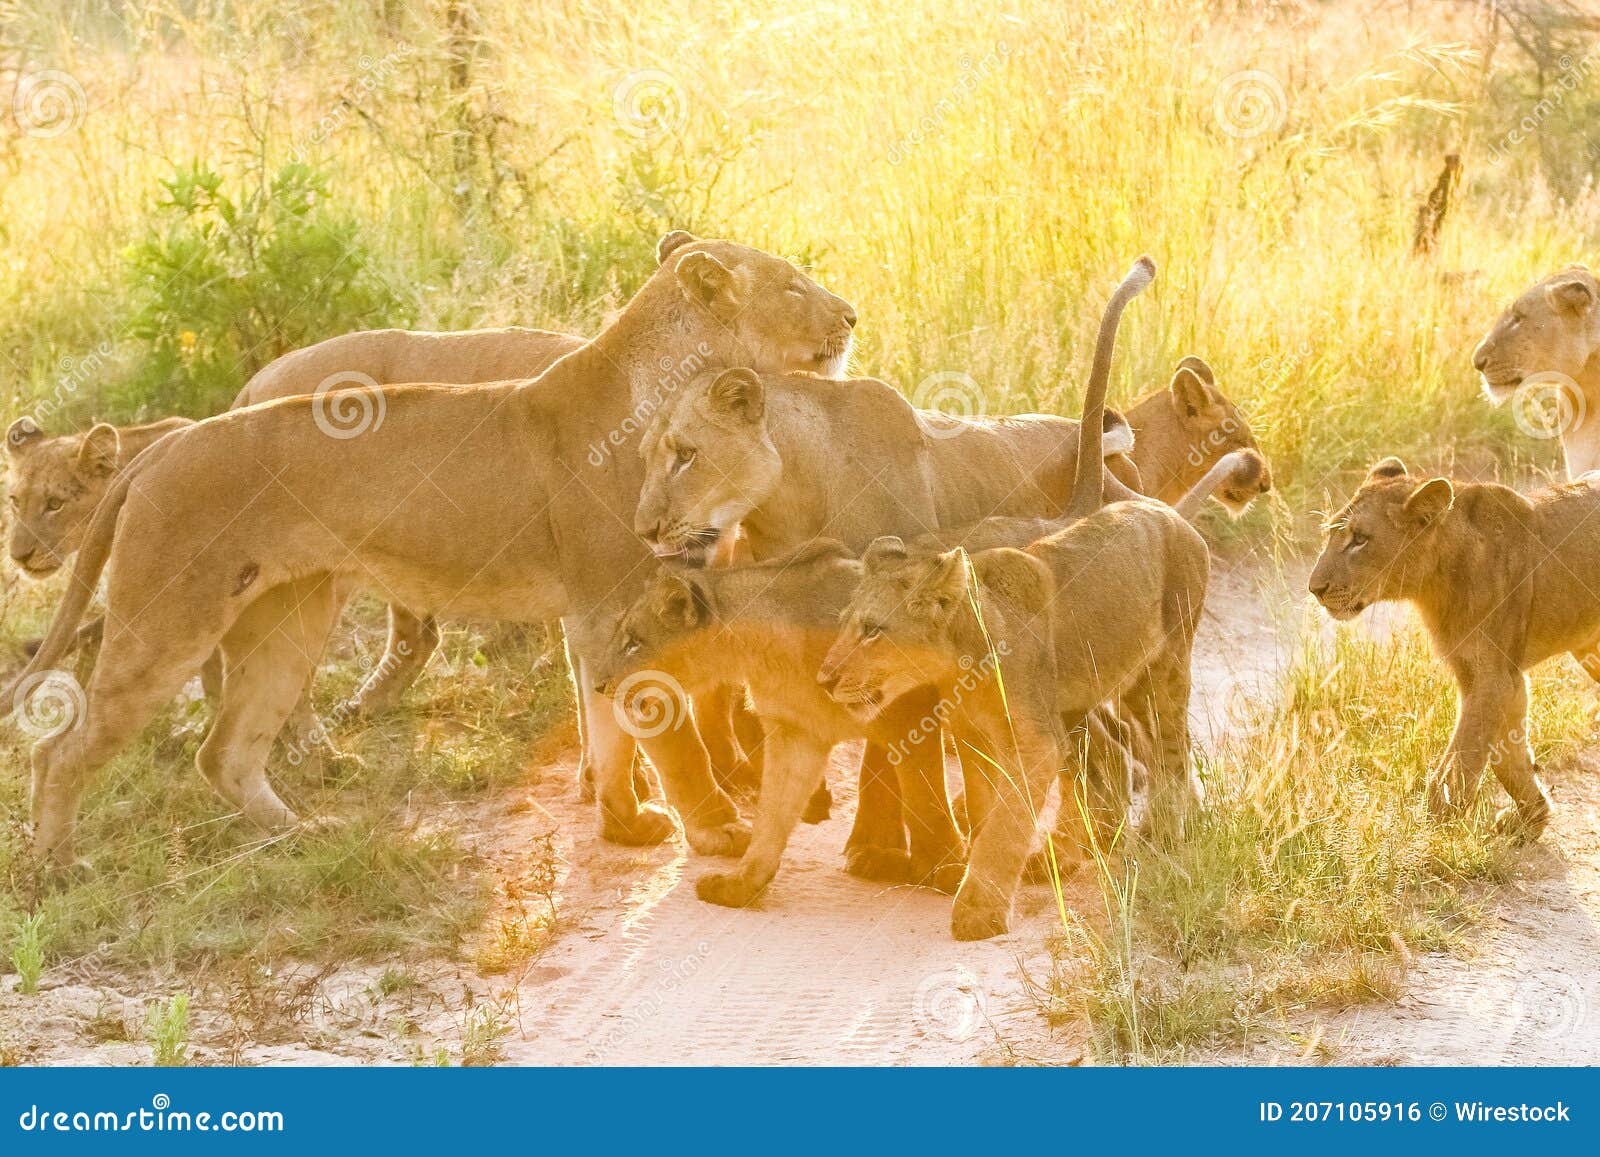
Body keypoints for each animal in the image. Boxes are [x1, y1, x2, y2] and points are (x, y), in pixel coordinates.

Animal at [10, 232, 858, 864]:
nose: (851, 315)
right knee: (63, 749)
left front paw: (624, 819)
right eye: (791, 286)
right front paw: (715, 829)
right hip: (167, 620)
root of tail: (161, 447)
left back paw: (303, 835)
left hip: (287, 619)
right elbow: (667, 735)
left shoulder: (595, 615)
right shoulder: (620, 602)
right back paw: (57, 866)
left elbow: (606, 724)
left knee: (226, 752)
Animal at [1307, 457, 1600, 840]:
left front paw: (1434, 829)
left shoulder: (1495, 677)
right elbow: (1508, 757)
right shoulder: (1486, 676)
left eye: (1359, 539)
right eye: (1329, 534)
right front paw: (1529, 819)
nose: (1314, 588)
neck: (1435, 582)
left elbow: (1465, 758)